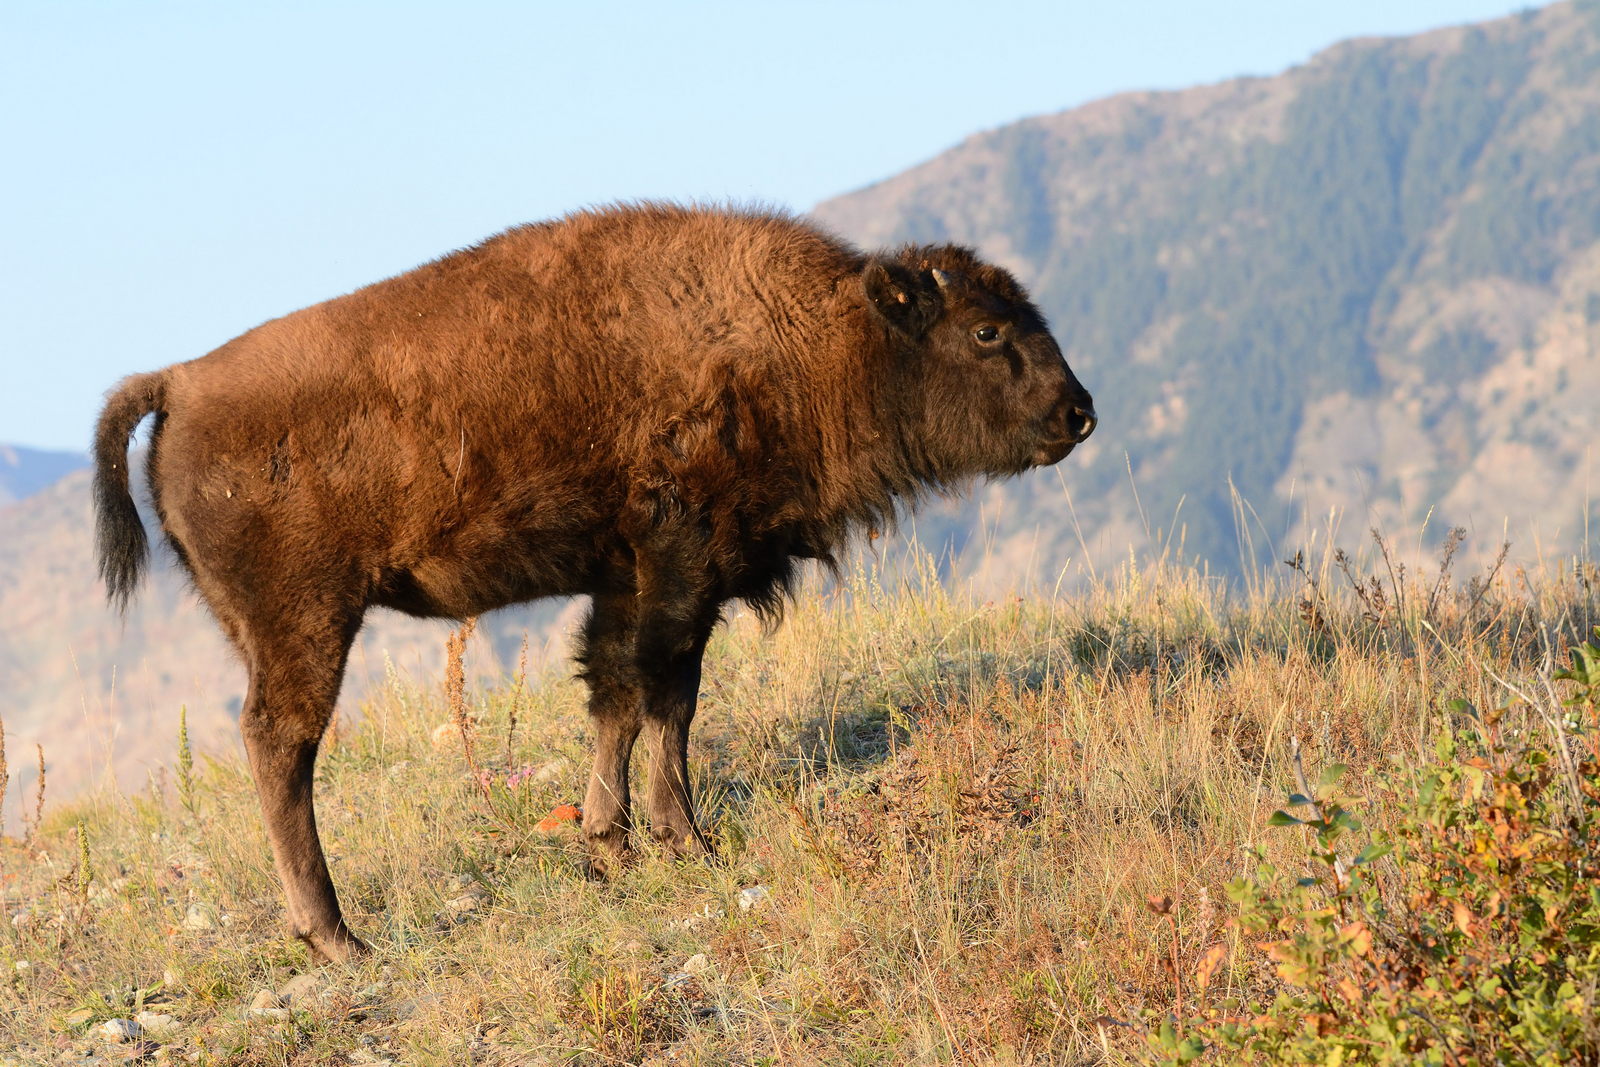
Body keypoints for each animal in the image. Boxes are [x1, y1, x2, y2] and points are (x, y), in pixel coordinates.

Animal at [95, 203, 1096, 961]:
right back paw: (338, 936)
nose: (1079, 413)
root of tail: (179, 382)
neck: (813, 335)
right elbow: (671, 693)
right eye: (987, 330)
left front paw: (608, 842)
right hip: (305, 622)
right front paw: (683, 837)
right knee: (281, 744)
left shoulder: (625, 576)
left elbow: (613, 692)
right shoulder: (684, 562)